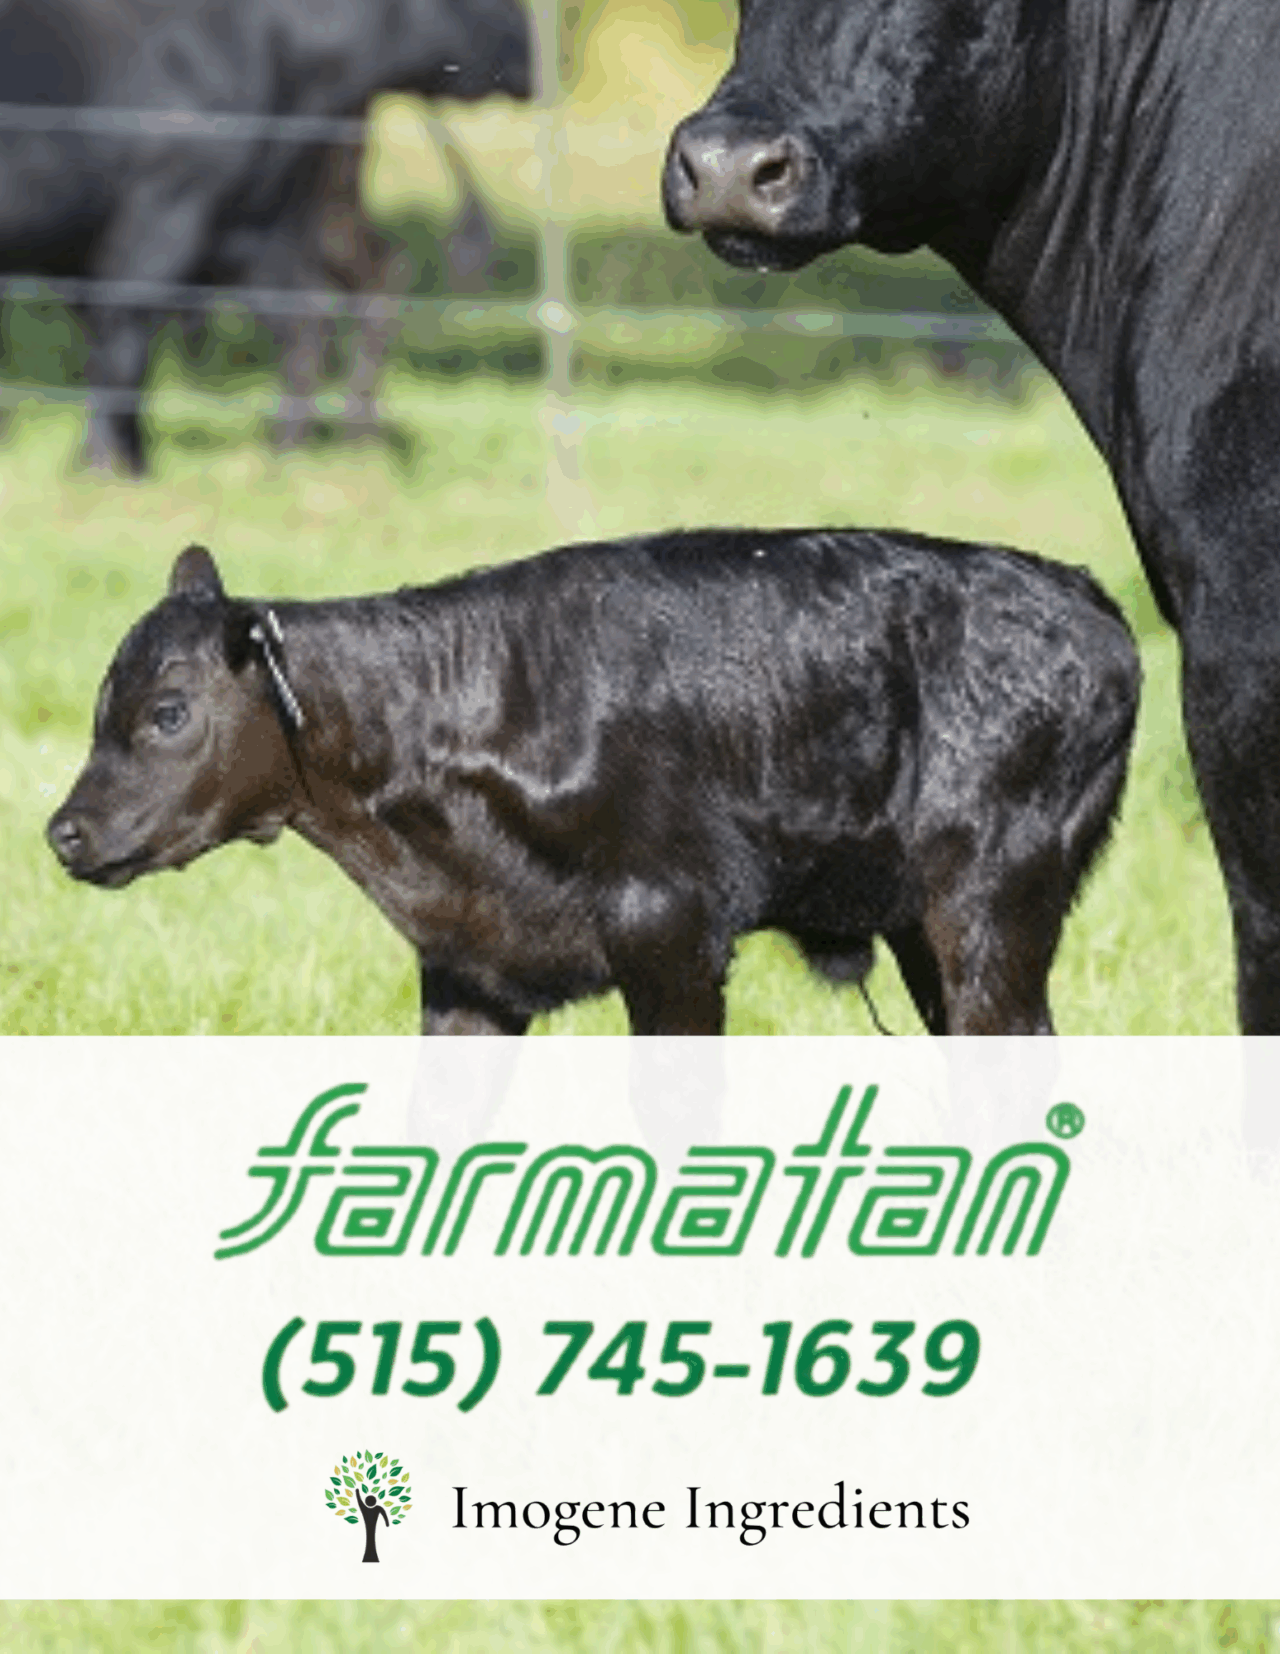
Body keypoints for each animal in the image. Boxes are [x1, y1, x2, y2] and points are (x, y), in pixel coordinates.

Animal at [0, 0, 528, 473]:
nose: (526, 53)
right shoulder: (156, 217)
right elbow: (115, 337)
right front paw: (110, 466)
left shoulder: (172, 217)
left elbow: (118, 340)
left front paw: (110, 468)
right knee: (337, 298)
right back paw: (319, 442)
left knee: (344, 295)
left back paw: (324, 446)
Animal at [45, 534, 1139, 1035]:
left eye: (168, 712)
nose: (64, 832)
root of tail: (1082, 593)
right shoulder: (467, 968)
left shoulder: (672, 934)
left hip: (994, 902)